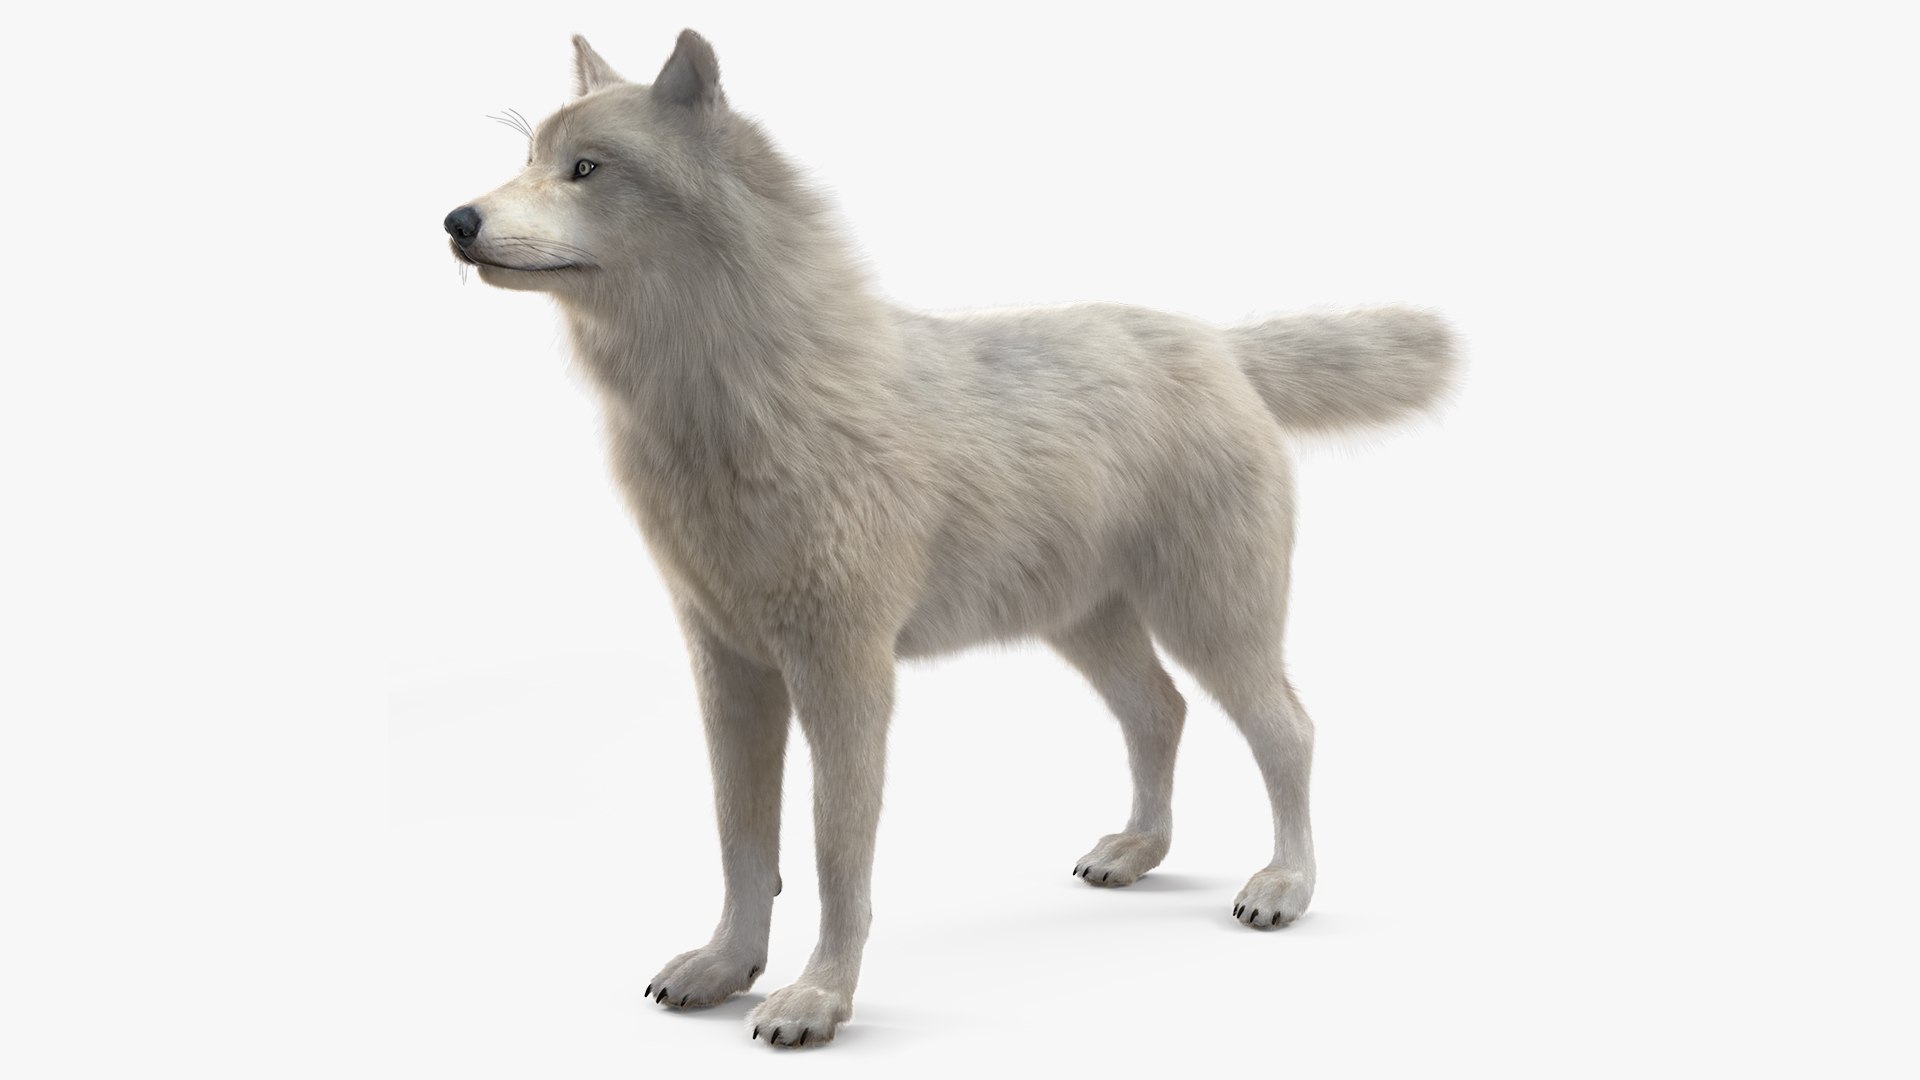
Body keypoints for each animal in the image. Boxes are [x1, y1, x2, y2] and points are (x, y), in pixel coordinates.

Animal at [445, 30, 1457, 1048]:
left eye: (586, 169)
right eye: (529, 158)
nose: (456, 220)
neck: (739, 400)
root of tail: (1219, 346)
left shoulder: (846, 675)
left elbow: (834, 856)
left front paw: (816, 999)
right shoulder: (728, 667)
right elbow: (742, 839)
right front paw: (726, 968)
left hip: (1211, 620)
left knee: (1288, 730)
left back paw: (1284, 885)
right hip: (1087, 624)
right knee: (1160, 712)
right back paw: (1136, 851)